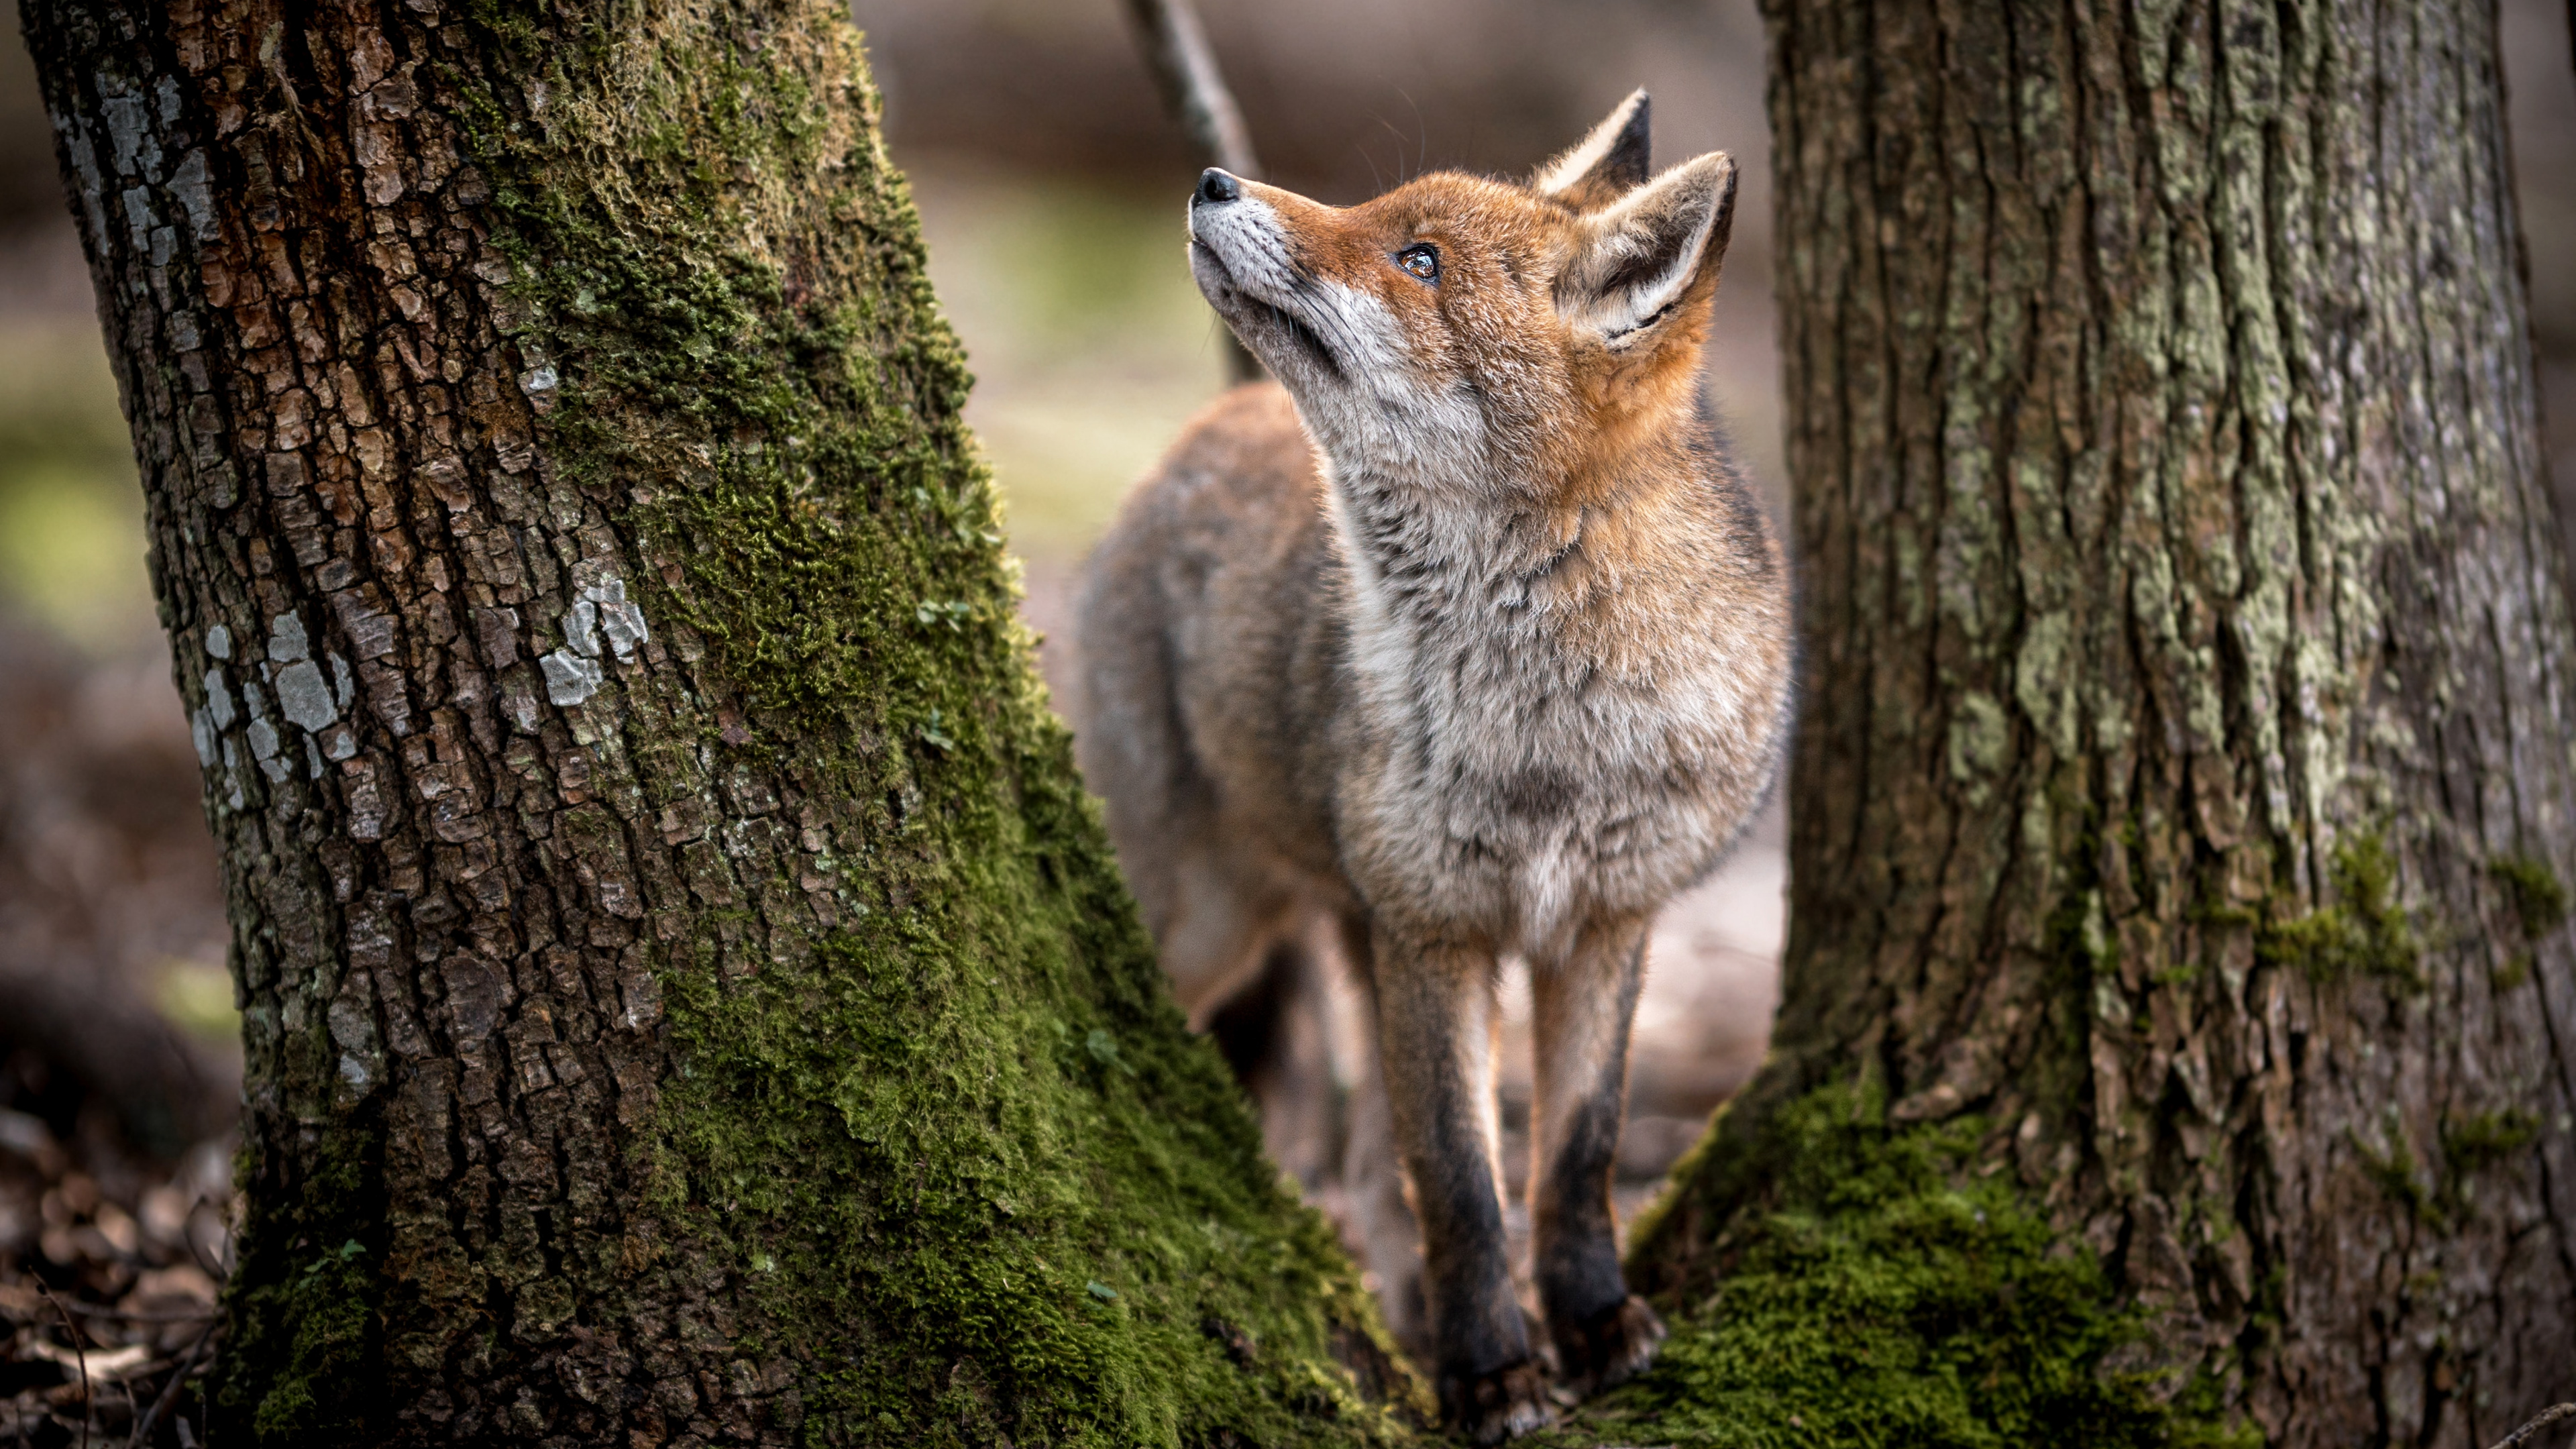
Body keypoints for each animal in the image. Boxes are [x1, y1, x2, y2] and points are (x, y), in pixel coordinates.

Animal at [1070, 91, 1791, 1442]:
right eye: (1377, 217)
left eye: (1419, 262)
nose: (1212, 180)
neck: (1547, 736)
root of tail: (1203, 424)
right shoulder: (1433, 932)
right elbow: (1459, 1181)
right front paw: (1490, 1370)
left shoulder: (1608, 923)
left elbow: (1574, 1155)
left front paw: (1591, 1321)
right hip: (1207, 923)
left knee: (1366, 1172)